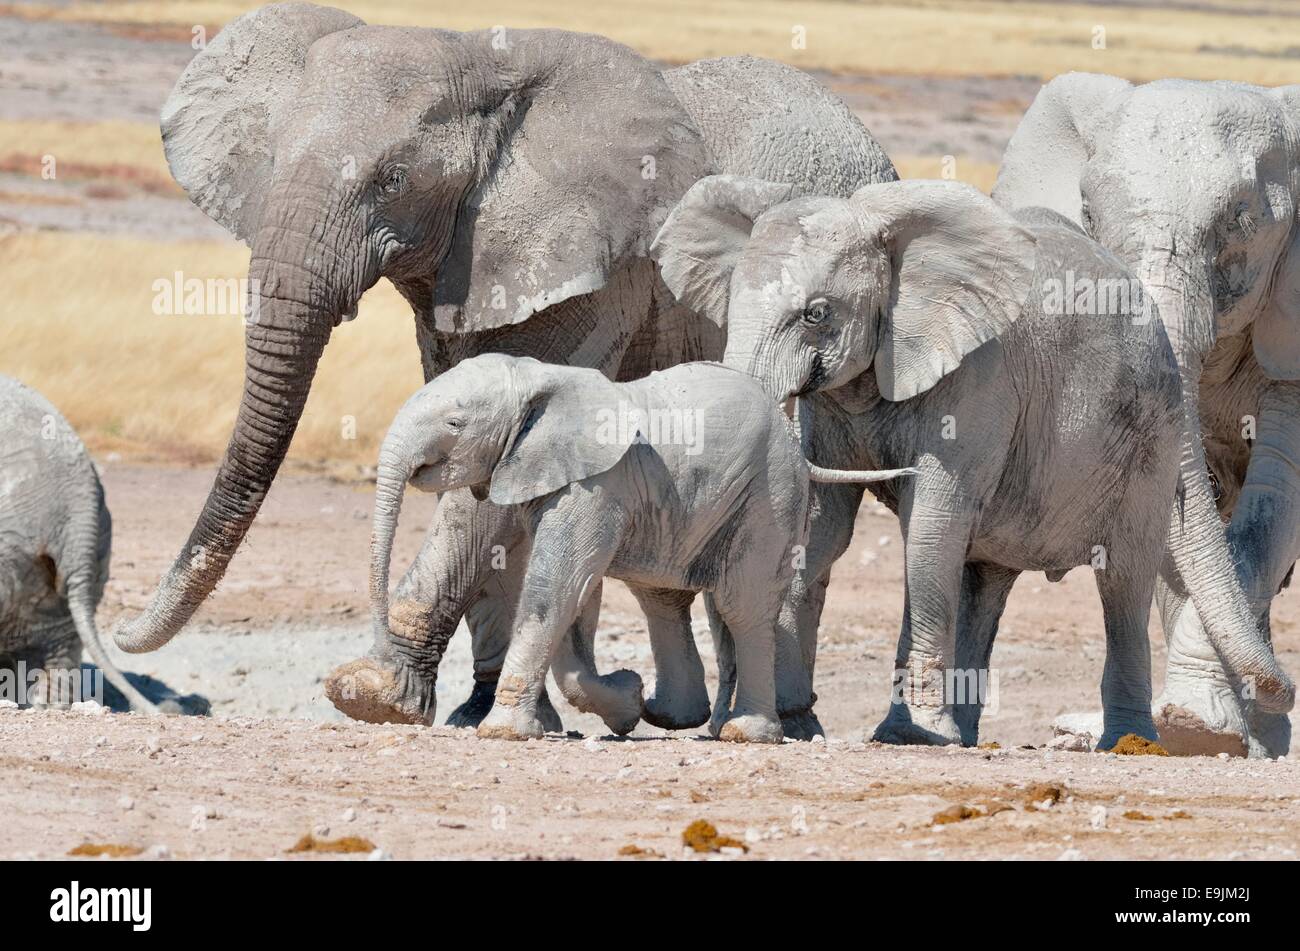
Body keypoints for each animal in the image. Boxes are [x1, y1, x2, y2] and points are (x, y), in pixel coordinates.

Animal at [339, 353, 913, 742]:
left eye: (455, 424)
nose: (380, 663)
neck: (539, 376)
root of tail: (795, 442)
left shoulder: (599, 485)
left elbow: (557, 585)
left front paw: (504, 731)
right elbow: (575, 596)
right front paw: (627, 701)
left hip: (770, 491)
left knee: (741, 602)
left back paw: (744, 733)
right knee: (681, 597)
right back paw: (691, 721)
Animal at [649, 175, 1295, 749]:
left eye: (816, 313)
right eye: (731, 306)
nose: (721, 723)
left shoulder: (980, 380)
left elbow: (930, 530)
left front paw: (908, 735)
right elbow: (823, 527)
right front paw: (801, 726)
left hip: (1150, 438)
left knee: (1123, 580)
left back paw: (1129, 743)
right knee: (984, 581)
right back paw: (964, 737)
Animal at [993, 73, 1300, 756]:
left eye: (1241, 221)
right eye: (1087, 215)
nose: (1286, 688)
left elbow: (1276, 498)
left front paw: (1198, 727)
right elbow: (1170, 507)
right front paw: (1199, 729)